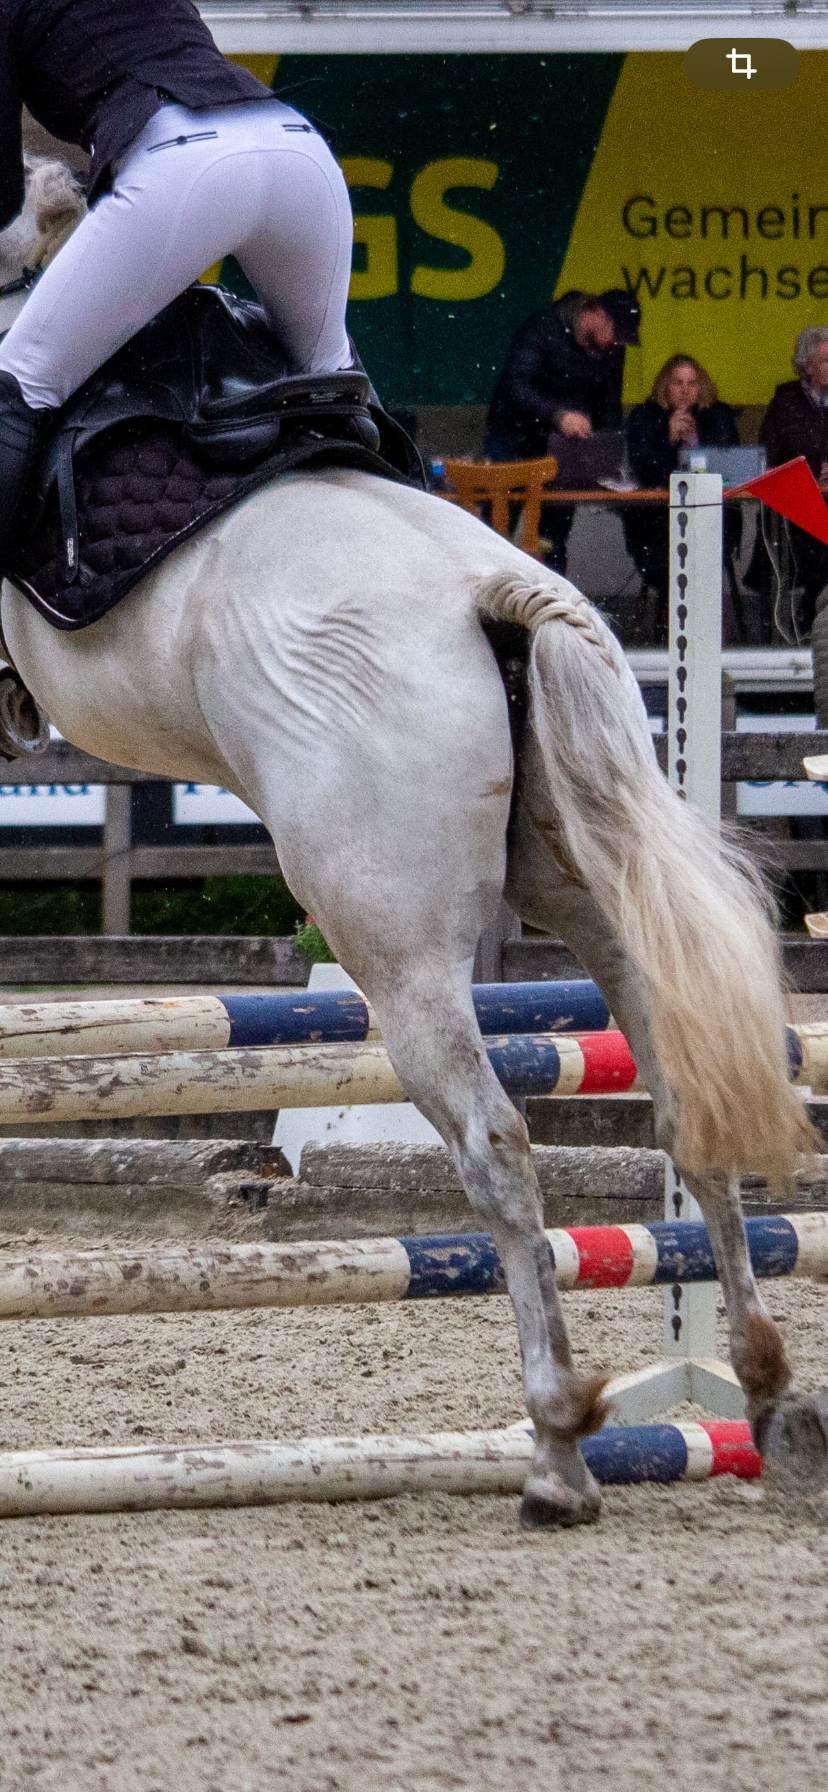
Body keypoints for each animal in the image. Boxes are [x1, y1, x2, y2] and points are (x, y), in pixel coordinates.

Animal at [0, 162, 824, 1527]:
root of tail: (500, 592)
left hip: (393, 943)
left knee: (495, 1140)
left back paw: (558, 1447)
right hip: (595, 899)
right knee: (684, 1098)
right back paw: (757, 1392)